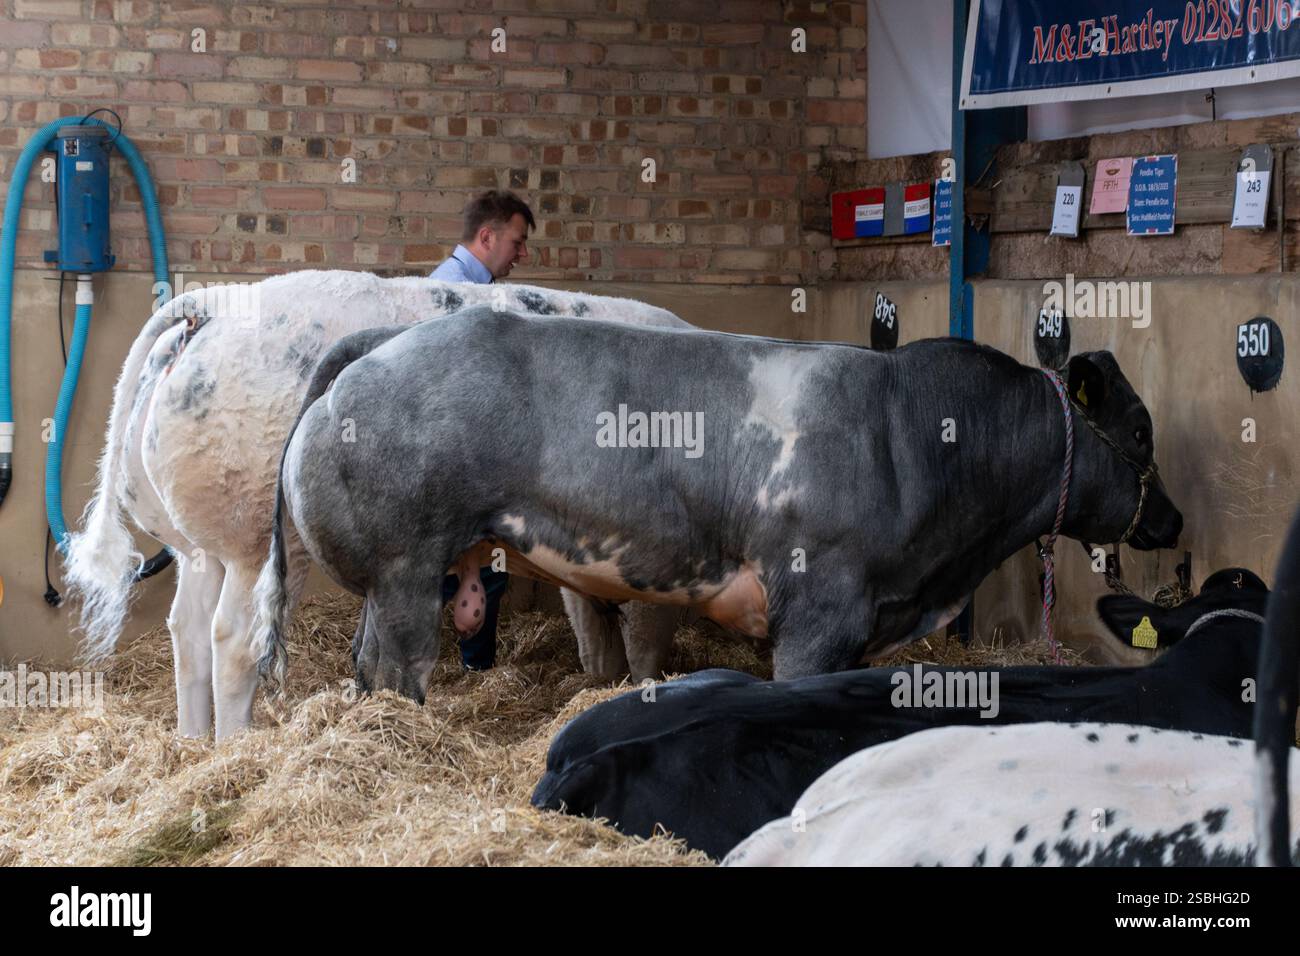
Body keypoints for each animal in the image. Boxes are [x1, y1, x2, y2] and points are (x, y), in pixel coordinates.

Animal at [62, 270, 688, 740]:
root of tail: (206, 307)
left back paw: (192, 744)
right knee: (235, 639)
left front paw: (601, 684)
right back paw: (236, 746)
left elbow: (593, 635)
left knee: (186, 629)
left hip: (196, 539)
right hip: (256, 531)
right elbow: (644, 639)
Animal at [251, 306, 1182, 708]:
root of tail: (383, 339)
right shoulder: (817, 615)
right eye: (1139, 427)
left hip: (391, 578)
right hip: (407, 566)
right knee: (397, 669)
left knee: (366, 665)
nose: (1171, 521)